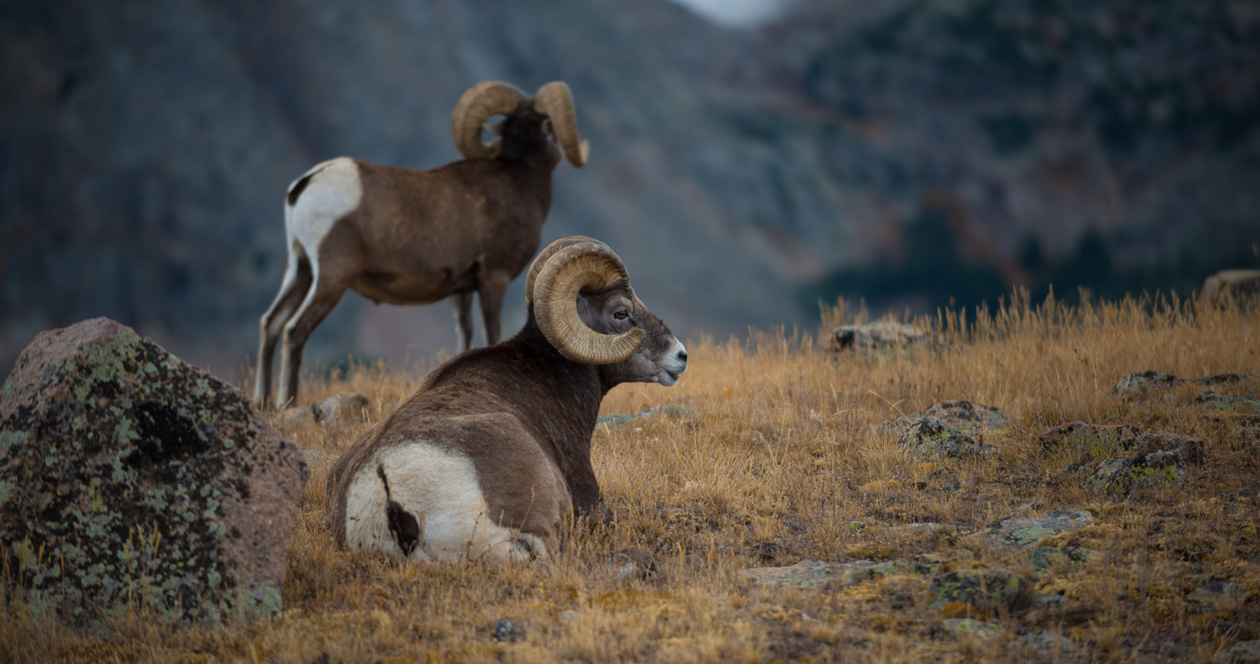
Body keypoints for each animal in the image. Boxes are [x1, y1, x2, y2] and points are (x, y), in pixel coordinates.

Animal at [254, 81, 590, 409]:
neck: (519, 180)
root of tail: (307, 183)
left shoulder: (460, 290)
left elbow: (465, 336)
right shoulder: (493, 279)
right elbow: (491, 333)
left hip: (300, 270)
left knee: (271, 323)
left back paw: (264, 401)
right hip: (331, 278)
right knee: (294, 330)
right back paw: (288, 402)